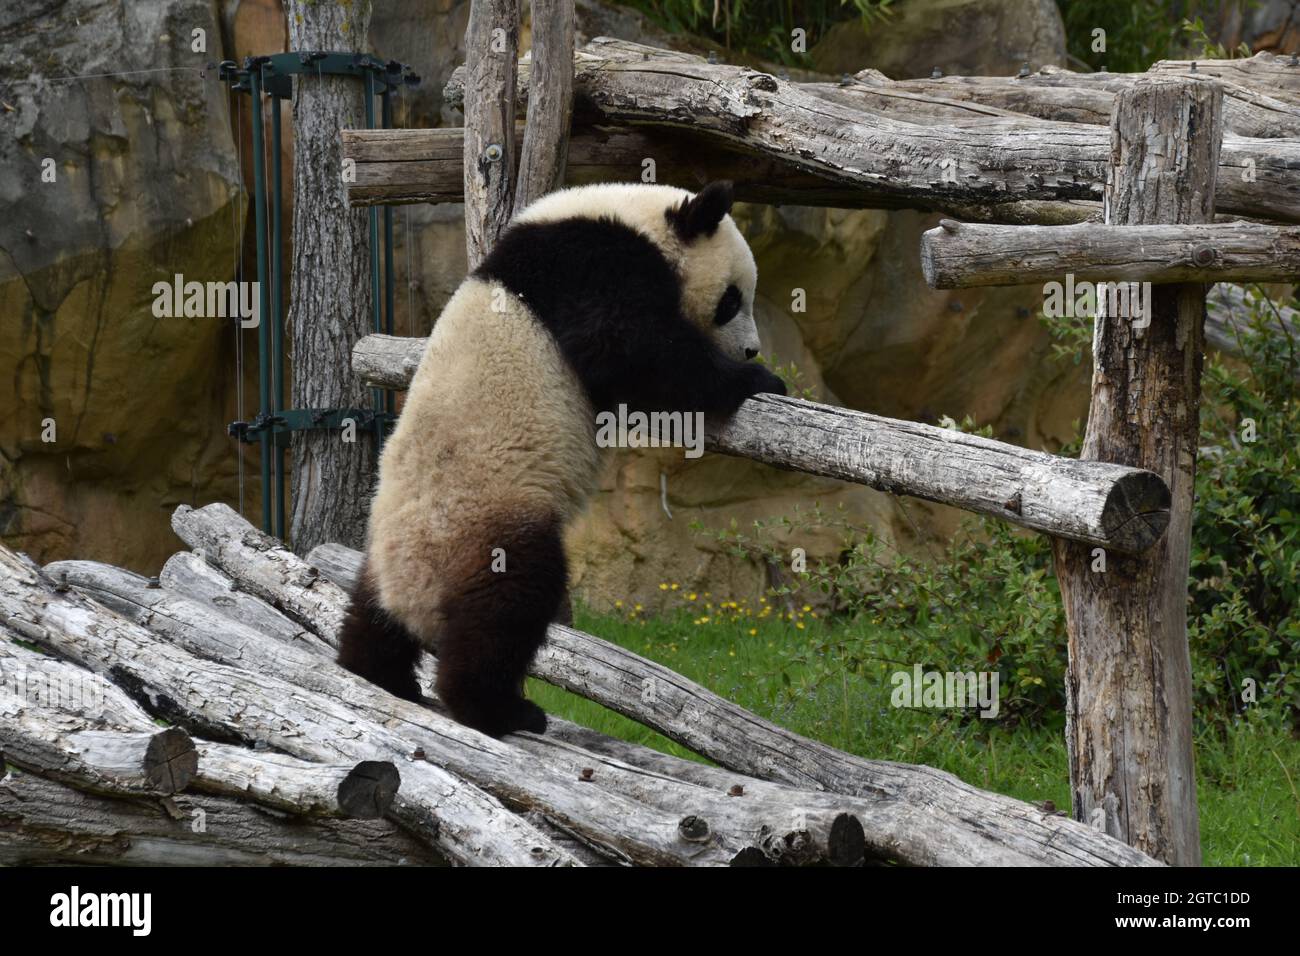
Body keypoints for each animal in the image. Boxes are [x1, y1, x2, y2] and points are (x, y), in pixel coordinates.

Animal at [337, 180, 786, 737]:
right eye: (732, 299)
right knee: (510, 604)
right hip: (484, 521)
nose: (751, 350)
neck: (628, 215)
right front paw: (757, 381)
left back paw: (376, 672)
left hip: (385, 539)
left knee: (372, 614)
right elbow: (630, 350)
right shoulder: (587, 265)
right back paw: (499, 708)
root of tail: (410, 594)